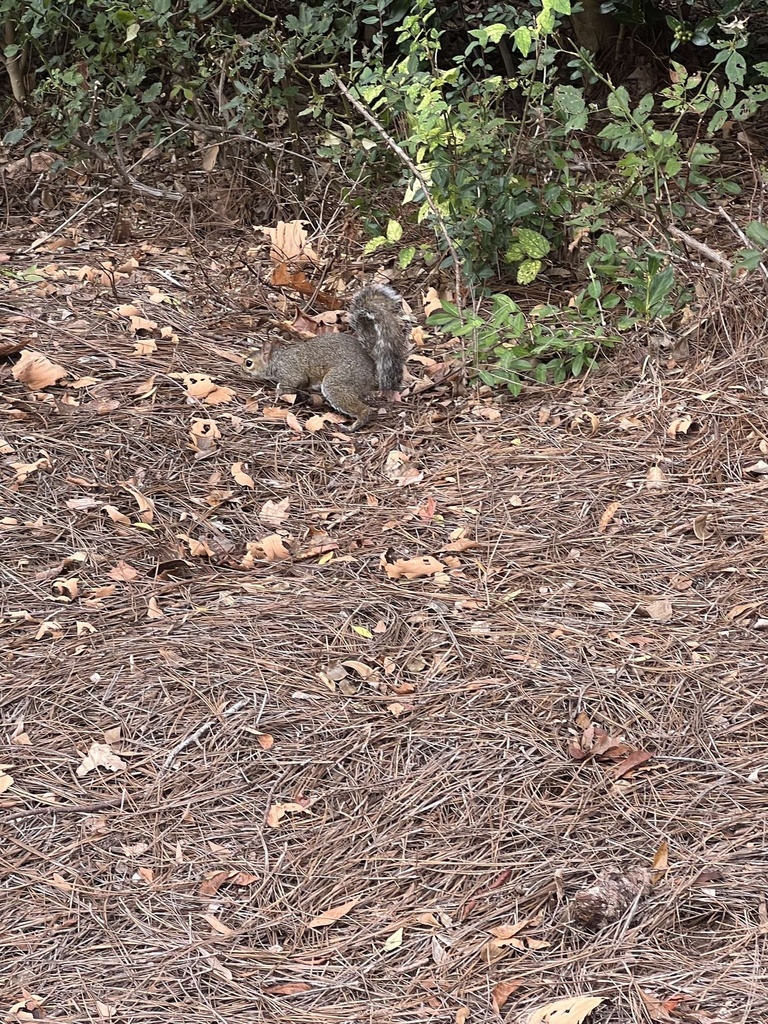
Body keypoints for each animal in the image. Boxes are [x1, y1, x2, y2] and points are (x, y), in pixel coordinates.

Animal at [242, 283, 408, 432]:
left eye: (249, 363)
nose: (241, 369)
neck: (276, 360)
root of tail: (371, 363)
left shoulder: (290, 371)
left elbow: (292, 383)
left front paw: (277, 392)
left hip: (338, 381)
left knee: (363, 409)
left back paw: (352, 426)